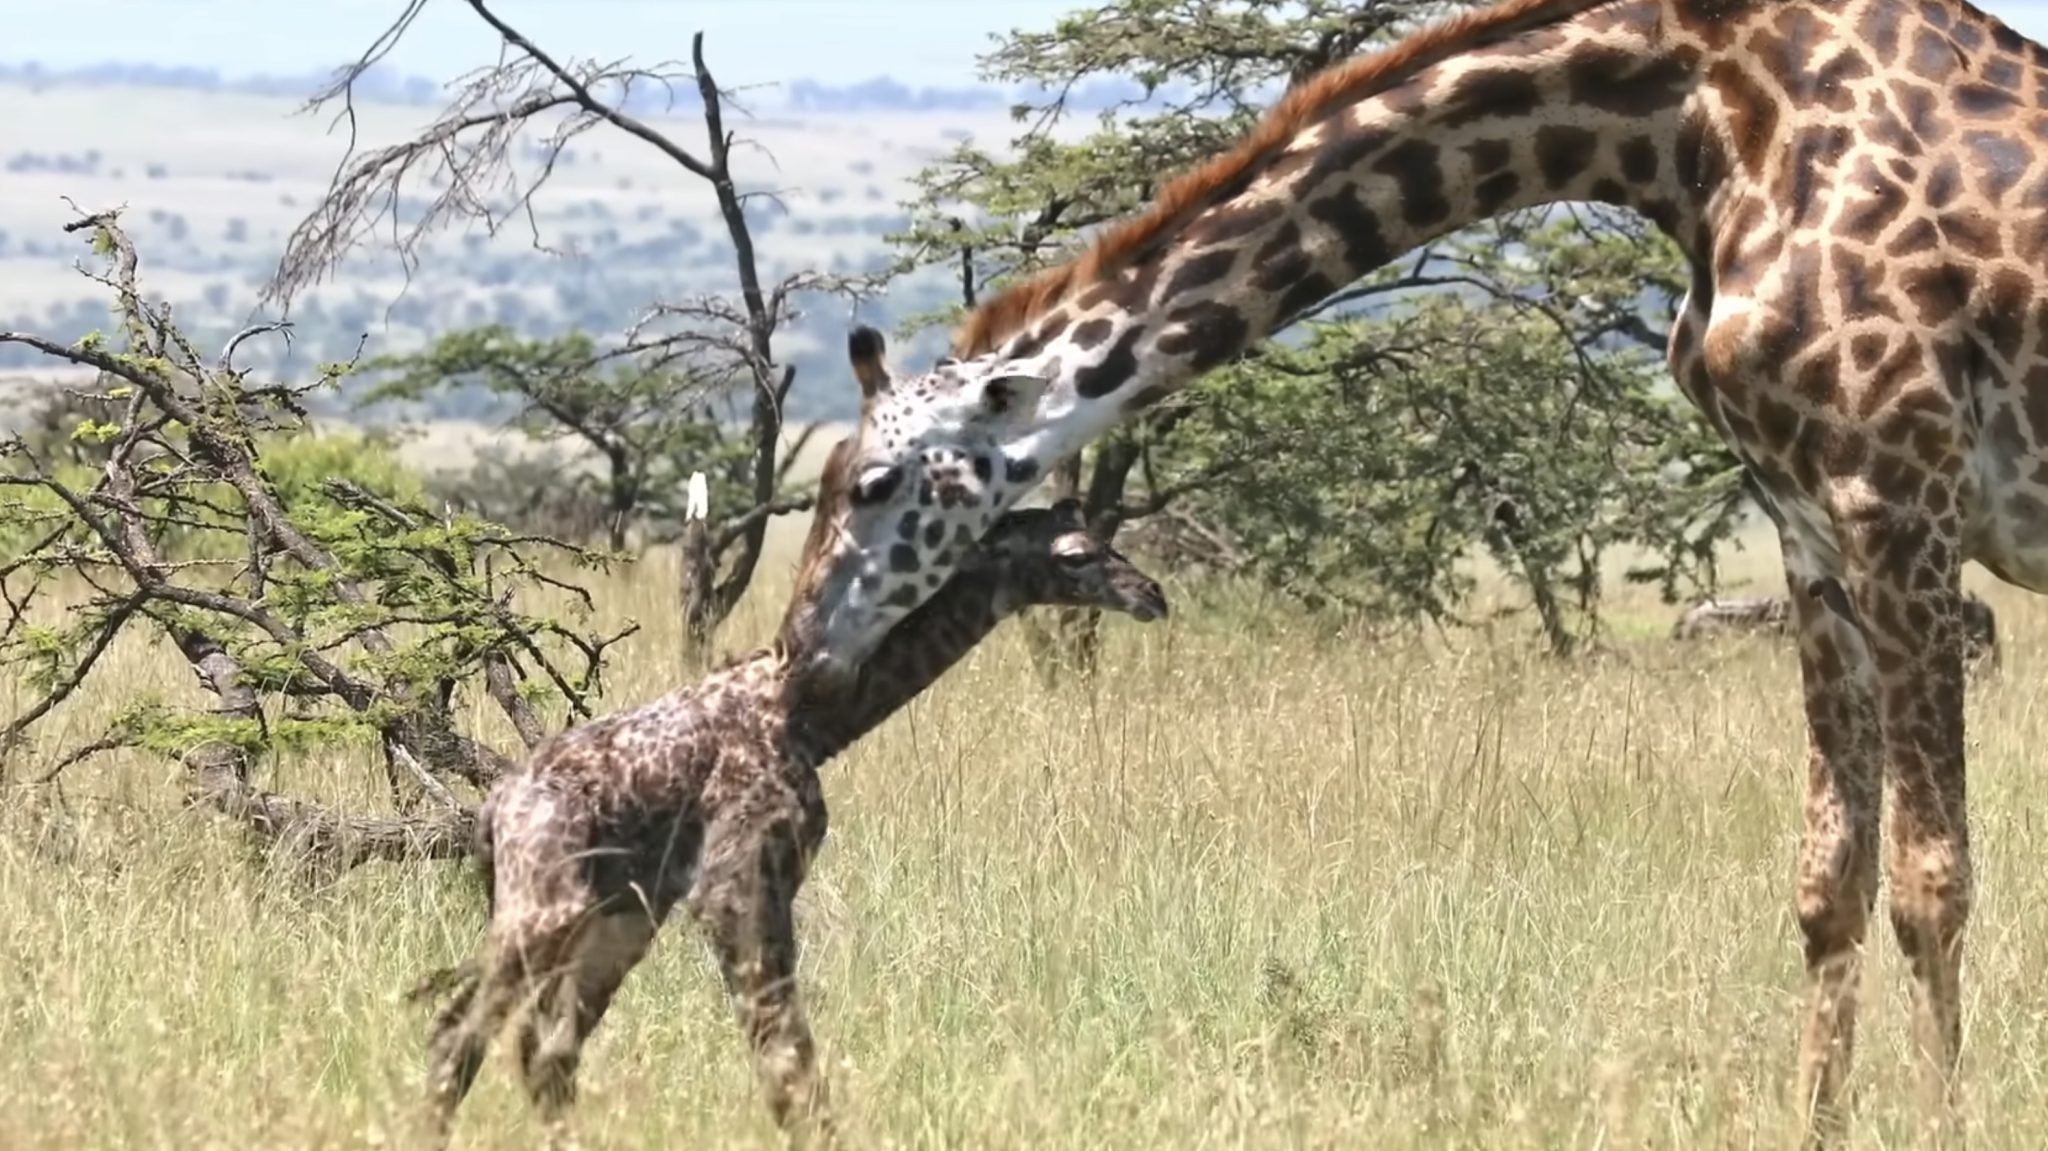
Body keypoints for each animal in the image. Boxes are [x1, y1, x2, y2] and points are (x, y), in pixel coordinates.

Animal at [405, 436, 1168, 1148]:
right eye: (1075, 555)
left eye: (1101, 543)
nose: (1151, 595)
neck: (814, 719)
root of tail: (494, 813)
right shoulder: (741, 878)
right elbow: (787, 1059)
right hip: (545, 908)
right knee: (458, 1034)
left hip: (613, 920)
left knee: (544, 1050)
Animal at [805, 0, 2048, 1136]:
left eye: (870, 483)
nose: (802, 650)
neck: (1691, 125)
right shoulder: (1807, 525)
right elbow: (1827, 883)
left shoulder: (1898, 491)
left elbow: (1929, 881)